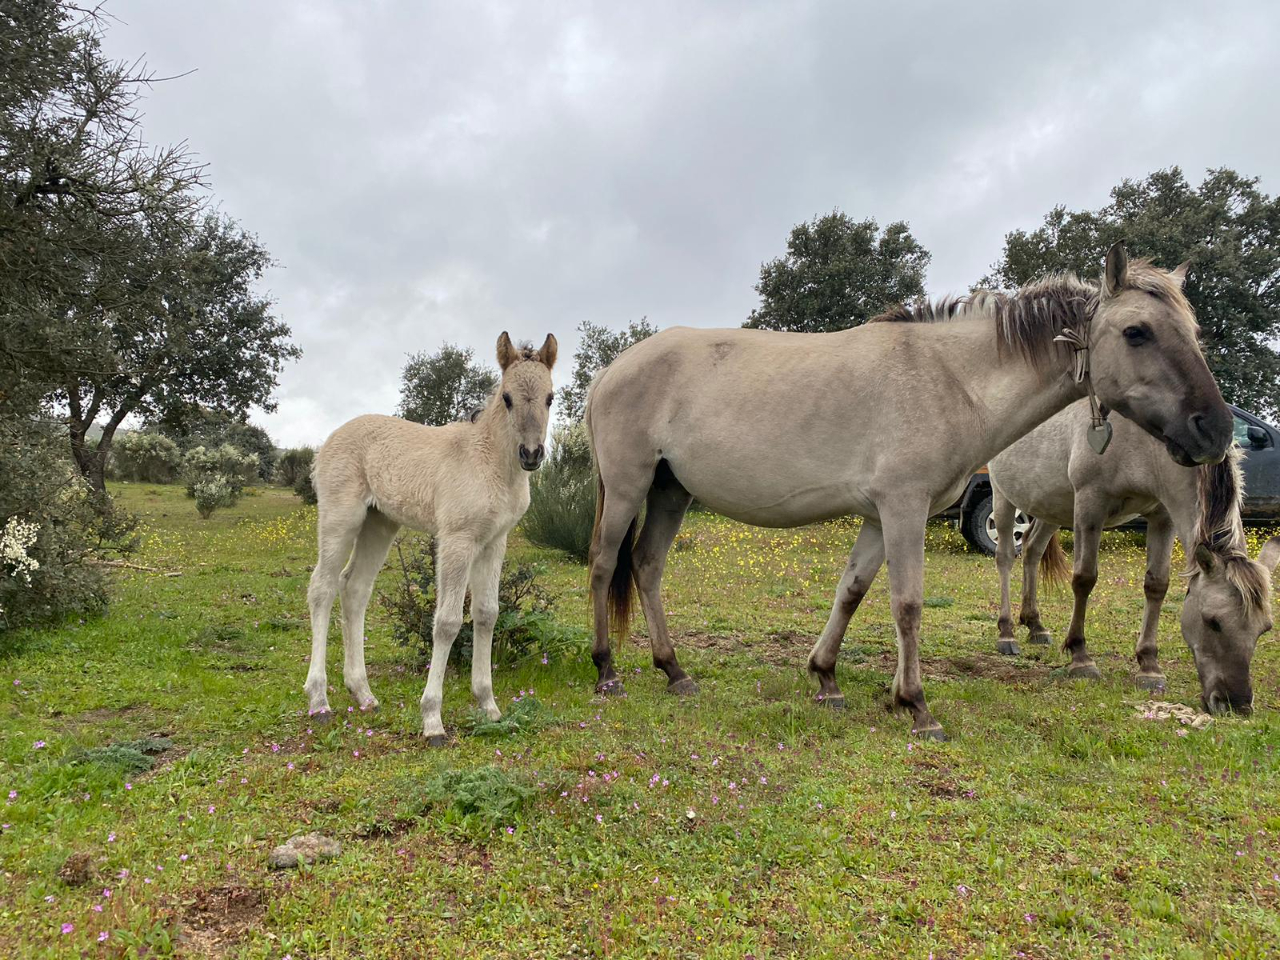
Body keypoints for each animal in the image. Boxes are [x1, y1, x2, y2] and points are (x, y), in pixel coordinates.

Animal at [303, 333, 557, 742]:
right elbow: (448, 622)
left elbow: (487, 614)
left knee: (354, 588)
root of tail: (329, 439)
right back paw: (319, 700)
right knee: (322, 588)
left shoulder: (494, 542)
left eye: (550, 397)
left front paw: (488, 705)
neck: (489, 461)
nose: (531, 454)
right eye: (506, 397)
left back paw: (363, 693)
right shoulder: (457, 540)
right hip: (341, 518)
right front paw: (432, 718)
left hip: (379, 524)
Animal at [585, 245, 1232, 739]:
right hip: (628, 487)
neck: (951, 378)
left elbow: (851, 592)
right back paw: (607, 670)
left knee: (646, 566)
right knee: (604, 564)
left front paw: (827, 677)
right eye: (1136, 332)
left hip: (670, 493)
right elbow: (907, 604)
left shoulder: (879, 517)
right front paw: (917, 706)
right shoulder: (903, 508)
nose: (1216, 429)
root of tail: (612, 369)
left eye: (1193, 330)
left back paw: (673, 670)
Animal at [988, 400, 1278, 715]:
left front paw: (1149, 666)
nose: (1236, 705)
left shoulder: (1162, 515)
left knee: (1032, 550)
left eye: (1264, 629)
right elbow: (1084, 579)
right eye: (1212, 621)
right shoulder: (1090, 504)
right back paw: (1006, 632)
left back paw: (1035, 625)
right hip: (1003, 496)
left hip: (1051, 506)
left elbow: (1157, 585)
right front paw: (1080, 657)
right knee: (1005, 557)